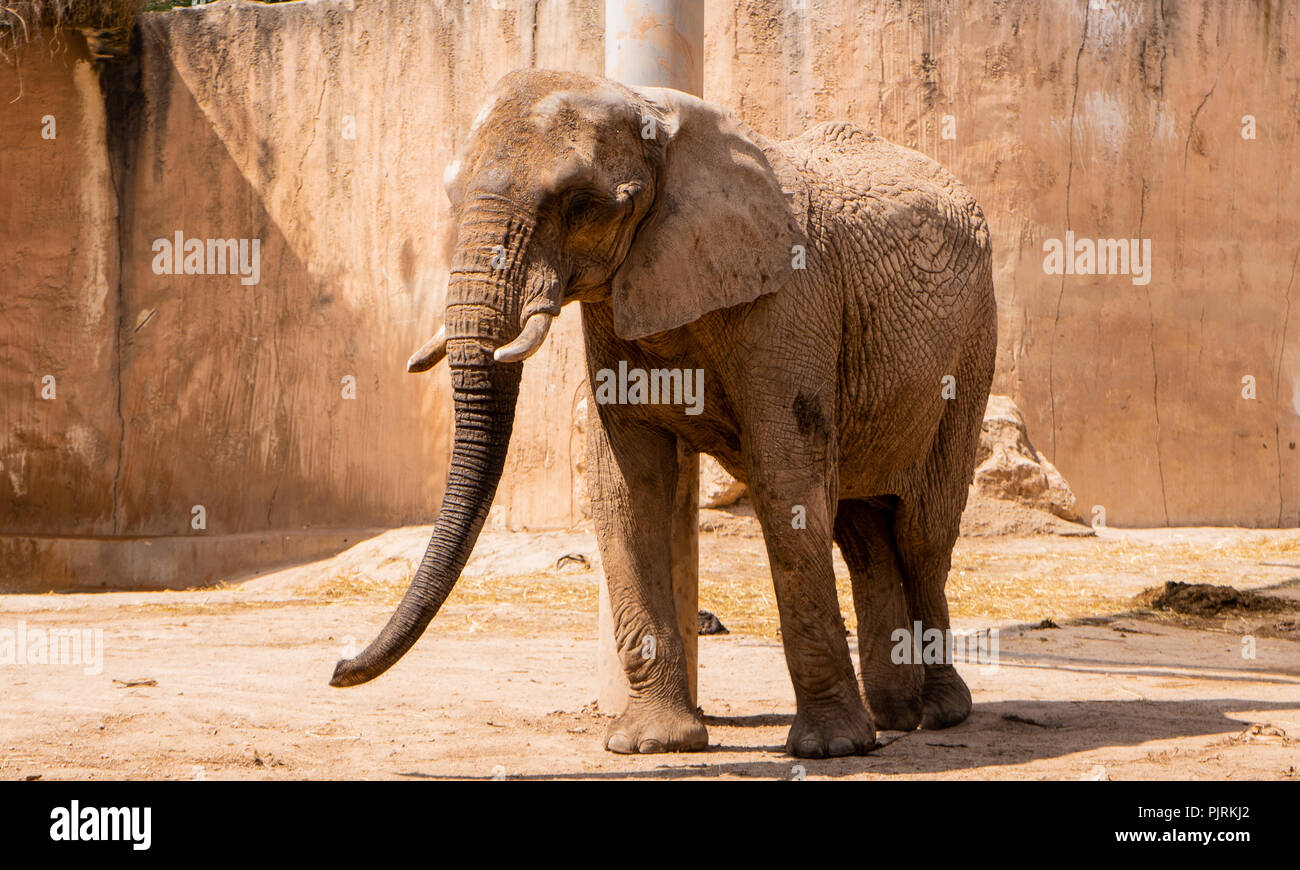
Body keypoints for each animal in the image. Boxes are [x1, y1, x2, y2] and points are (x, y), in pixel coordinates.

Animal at [330, 69, 997, 759]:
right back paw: (896, 715)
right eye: (452, 195)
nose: (337, 666)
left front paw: (829, 749)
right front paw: (653, 744)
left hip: (974, 345)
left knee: (922, 532)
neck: (654, 114)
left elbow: (787, 475)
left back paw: (938, 713)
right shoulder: (618, 302)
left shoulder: (791, 299)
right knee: (863, 529)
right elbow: (628, 487)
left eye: (581, 205)